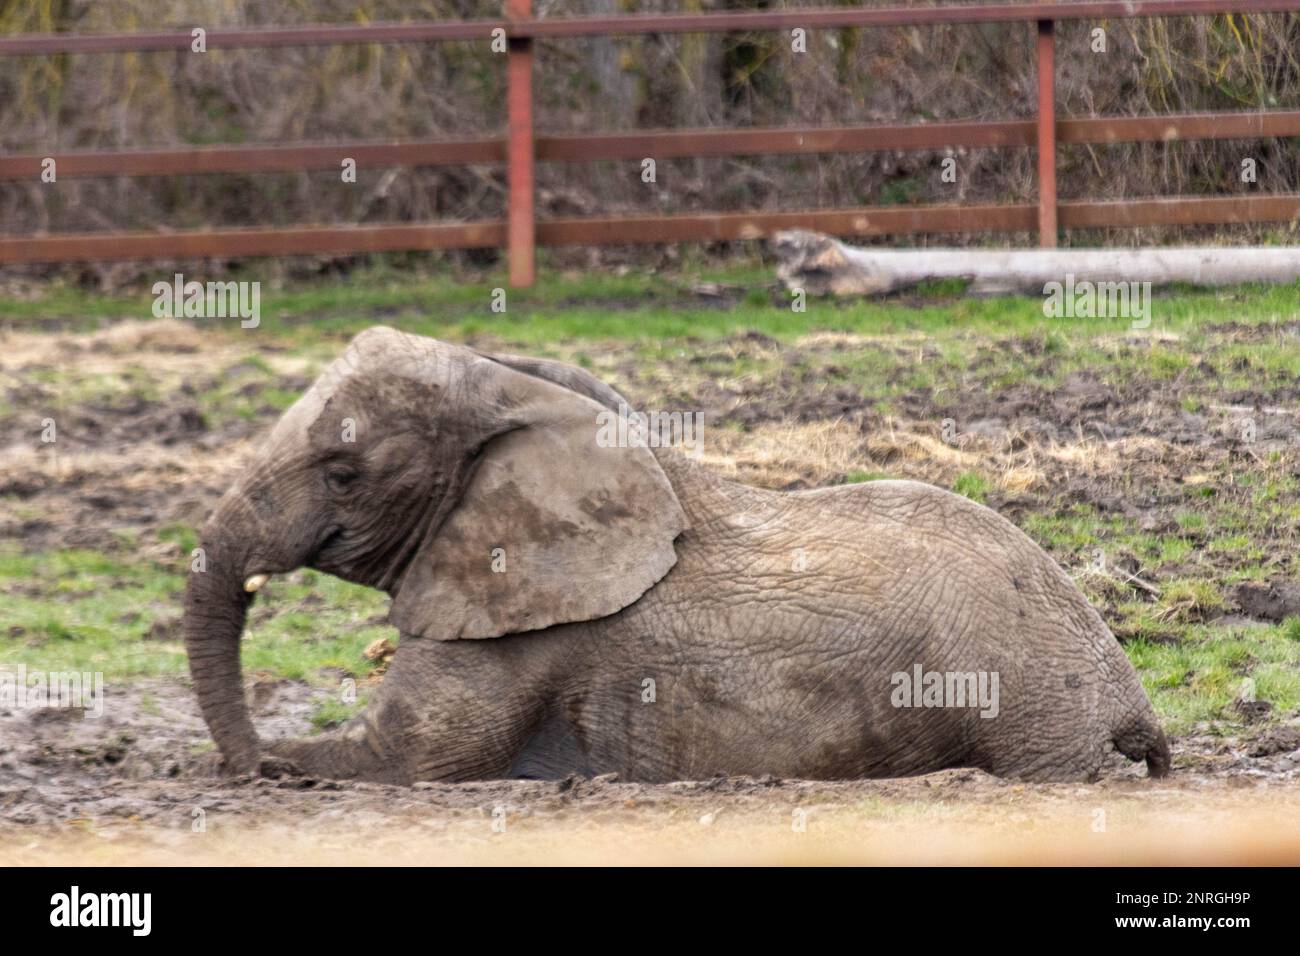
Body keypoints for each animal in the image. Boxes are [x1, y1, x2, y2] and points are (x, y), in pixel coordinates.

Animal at [183, 326, 1170, 784]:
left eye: (344, 473)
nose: (247, 763)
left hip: (1027, 711)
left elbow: (407, 757)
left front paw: (274, 765)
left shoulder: (516, 626)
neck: (516, 395)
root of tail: (1126, 691)